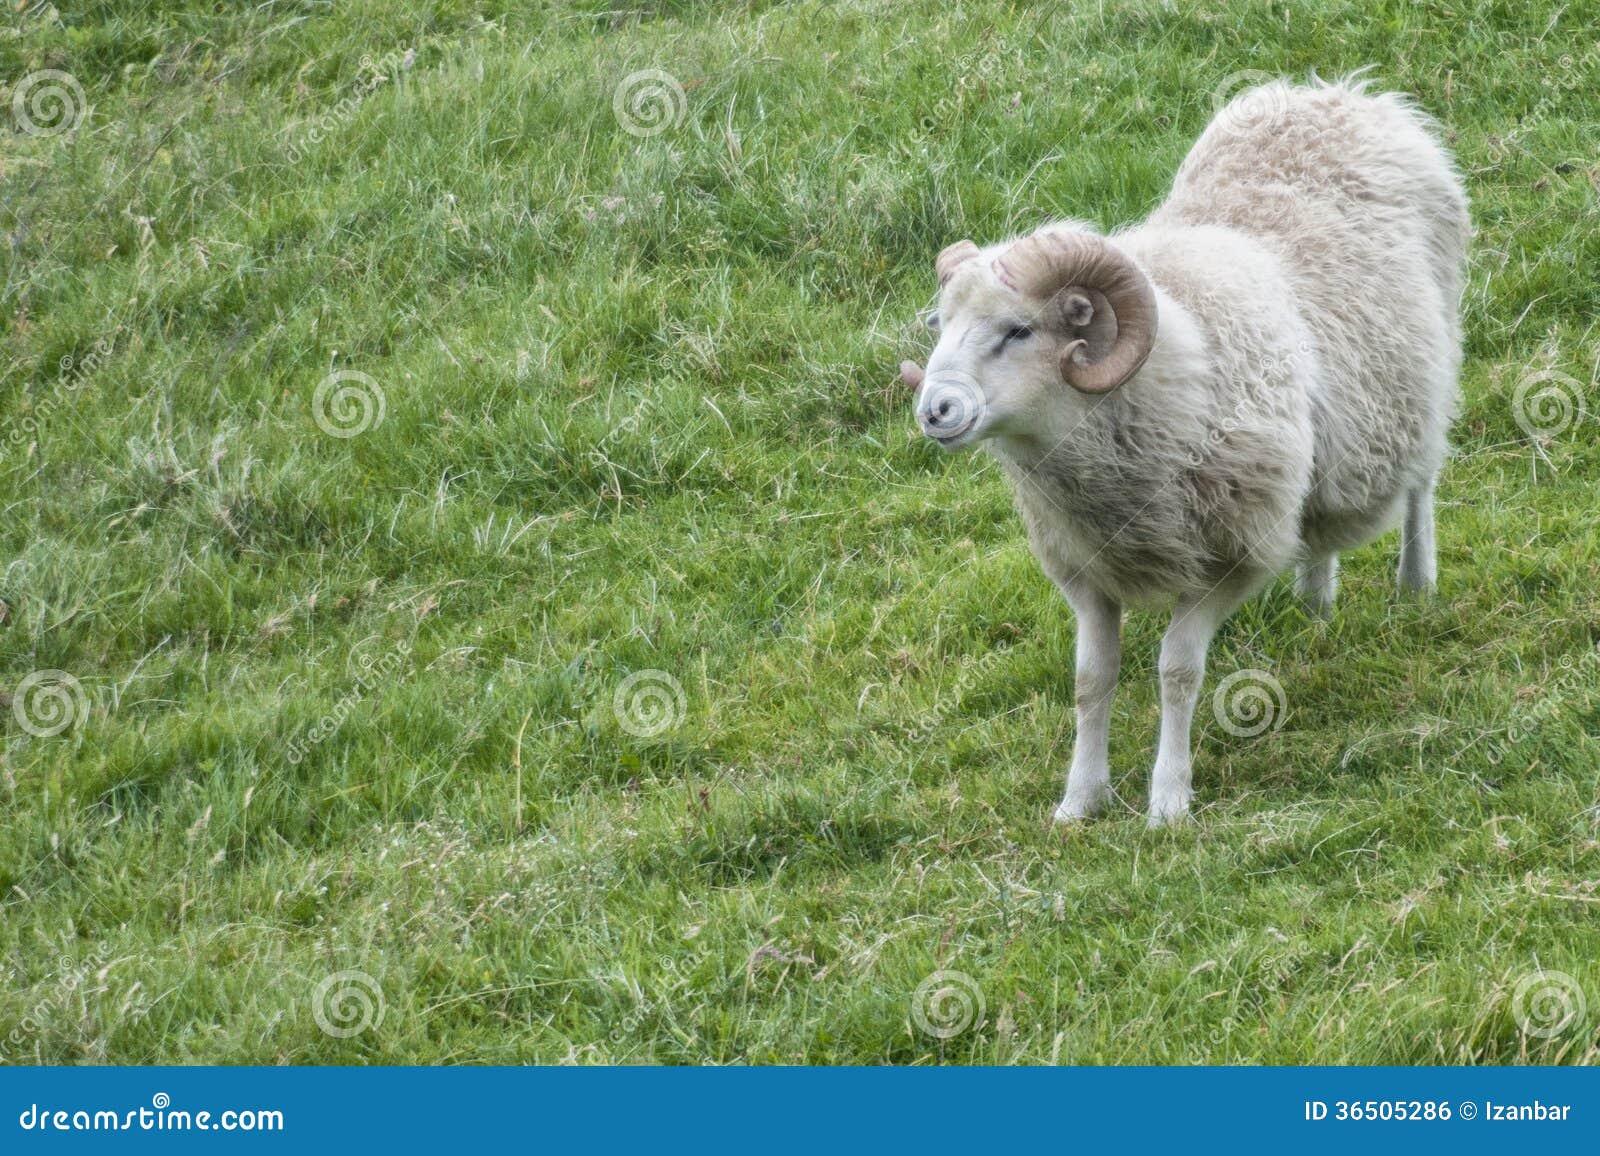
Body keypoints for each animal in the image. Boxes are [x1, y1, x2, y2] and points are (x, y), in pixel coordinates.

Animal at [898, 76, 1470, 826]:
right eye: (941, 324)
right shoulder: (1086, 568)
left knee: (1422, 484)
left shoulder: (1230, 558)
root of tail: (1336, 93)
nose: (934, 411)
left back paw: (1416, 582)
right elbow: (1091, 680)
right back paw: (1315, 600)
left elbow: (1178, 671)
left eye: (1019, 330)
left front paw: (1168, 801)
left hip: (1434, 363)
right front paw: (1079, 800)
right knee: (1319, 525)